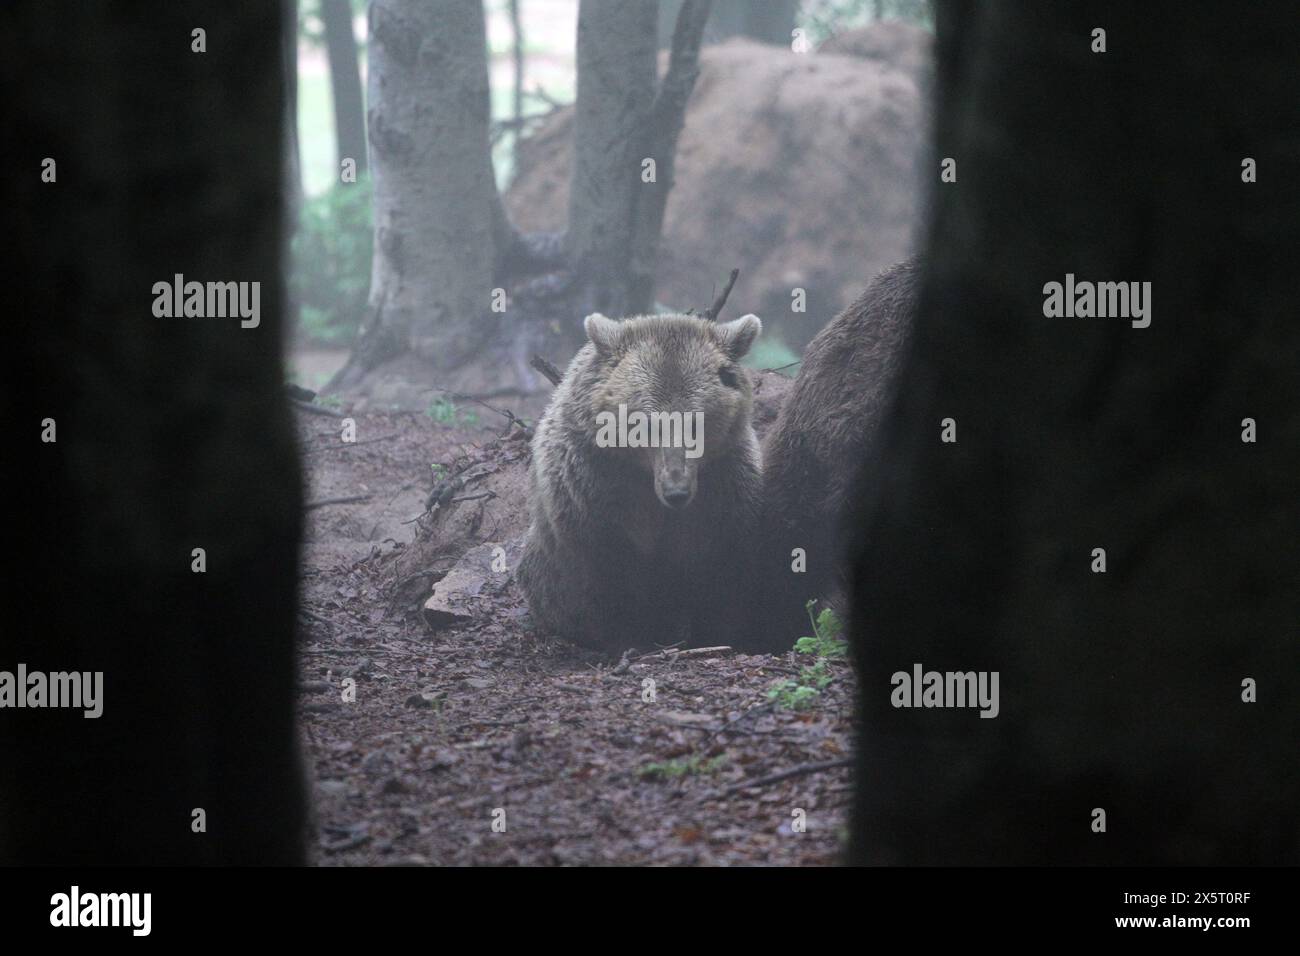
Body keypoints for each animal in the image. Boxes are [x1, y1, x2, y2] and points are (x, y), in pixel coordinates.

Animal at [518, 311, 764, 651]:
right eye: (647, 423)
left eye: (697, 423)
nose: (676, 491)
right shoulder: (592, 486)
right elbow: (610, 571)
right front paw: (631, 632)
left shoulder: (724, 484)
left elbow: (719, 568)